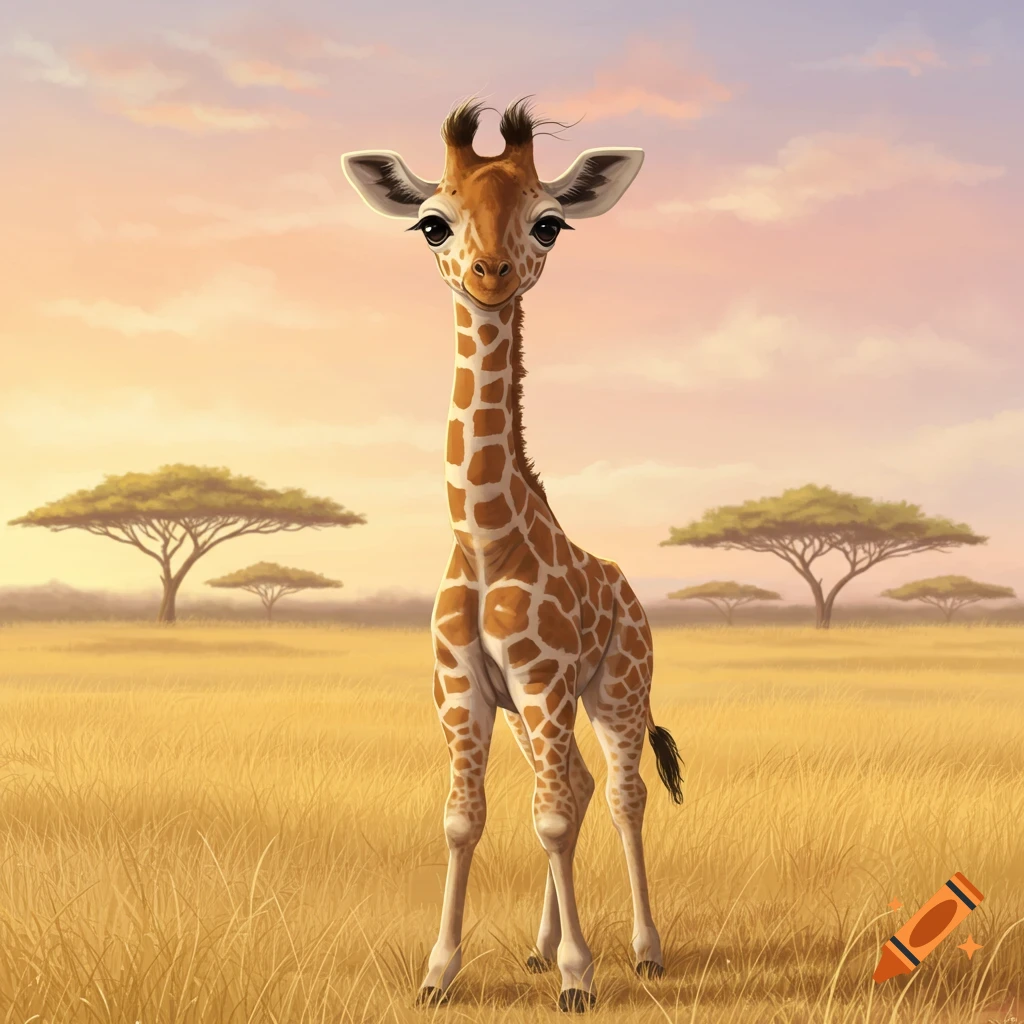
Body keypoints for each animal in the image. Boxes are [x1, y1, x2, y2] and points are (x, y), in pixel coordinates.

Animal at [342, 99, 684, 1013]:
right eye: (432, 221)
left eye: (549, 222)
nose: (489, 273)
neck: (486, 539)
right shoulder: (462, 692)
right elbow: (466, 818)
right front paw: (439, 973)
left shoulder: (542, 682)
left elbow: (554, 819)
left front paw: (579, 978)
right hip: (544, 711)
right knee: (580, 787)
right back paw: (539, 947)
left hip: (616, 688)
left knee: (622, 795)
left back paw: (644, 951)